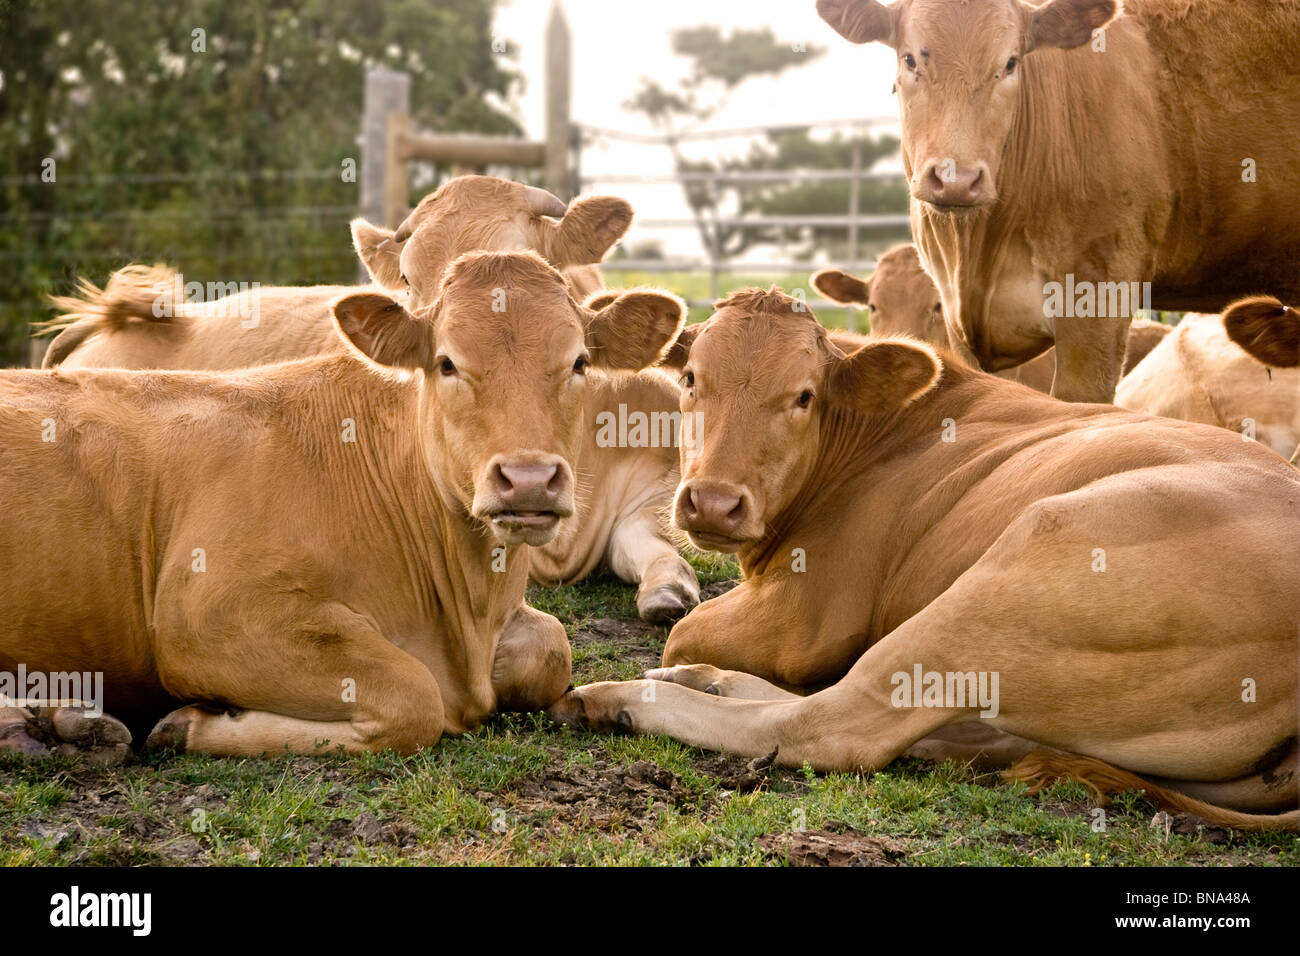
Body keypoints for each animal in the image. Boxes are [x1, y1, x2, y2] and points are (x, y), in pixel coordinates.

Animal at [0, 252, 685, 757]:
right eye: (446, 363)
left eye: (579, 362)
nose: (529, 480)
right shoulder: (206, 612)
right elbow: (412, 697)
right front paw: (192, 723)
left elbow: (551, 647)